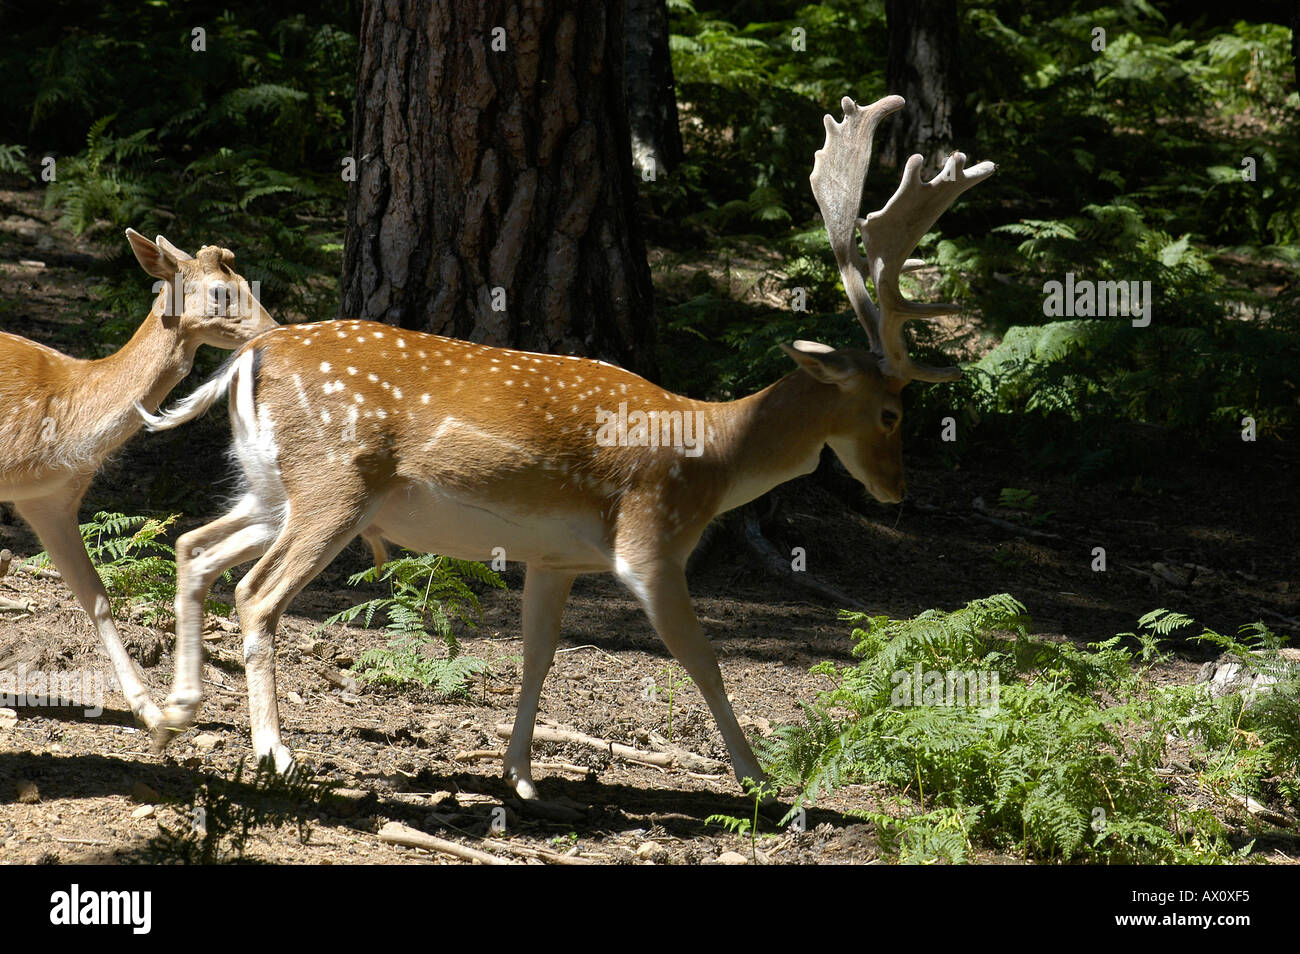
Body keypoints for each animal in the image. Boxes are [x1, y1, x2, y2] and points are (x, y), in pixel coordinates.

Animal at [0, 230, 276, 733]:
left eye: (248, 282)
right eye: (221, 291)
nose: (273, 328)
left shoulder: (50, 501)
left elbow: (96, 596)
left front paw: (149, 710)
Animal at [139, 95, 994, 801]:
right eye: (892, 412)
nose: (898, 491)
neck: (715, 456)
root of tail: (249, 361)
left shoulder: (554, 558)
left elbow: (538, 655)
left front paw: (520, 778)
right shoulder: (649, 541)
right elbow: (703, 659)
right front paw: (760, 784)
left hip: (270, 488)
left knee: (193, 547)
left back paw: (177, 712)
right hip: (334, 486)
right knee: (258, 593)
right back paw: (275, 754)